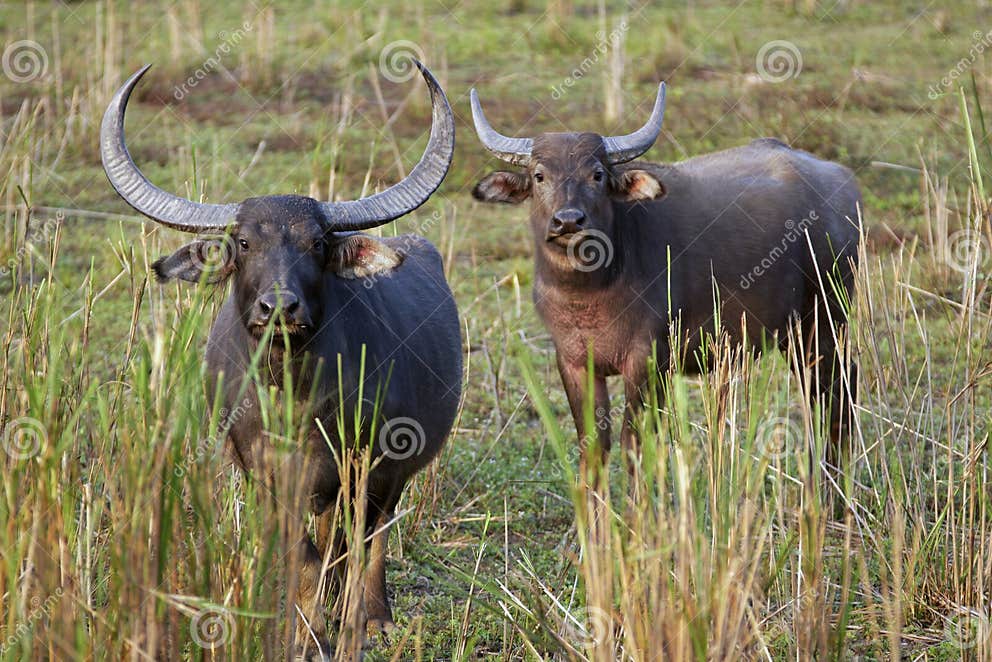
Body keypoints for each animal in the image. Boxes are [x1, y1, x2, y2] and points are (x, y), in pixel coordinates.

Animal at [101, 62, 461, 659]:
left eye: (317, 243)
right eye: (244, 243)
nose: (280, 308)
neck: (293, 399)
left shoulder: (363, 465)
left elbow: (346, 544)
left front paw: (342, 625)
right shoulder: (261, 472)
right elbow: (305, 555)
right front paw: (305, 631)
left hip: (395, 471)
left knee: (374, 533)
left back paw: (374, 615)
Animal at [471, 83, 860, 474]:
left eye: (597, 174)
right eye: (539, 175)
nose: (568, 221)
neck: (588, 294)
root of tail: (841, 180)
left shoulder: (647, 359)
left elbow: (635, 443)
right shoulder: (572, 361)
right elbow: (593, 446)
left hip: (825, 321)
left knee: (838, 393)